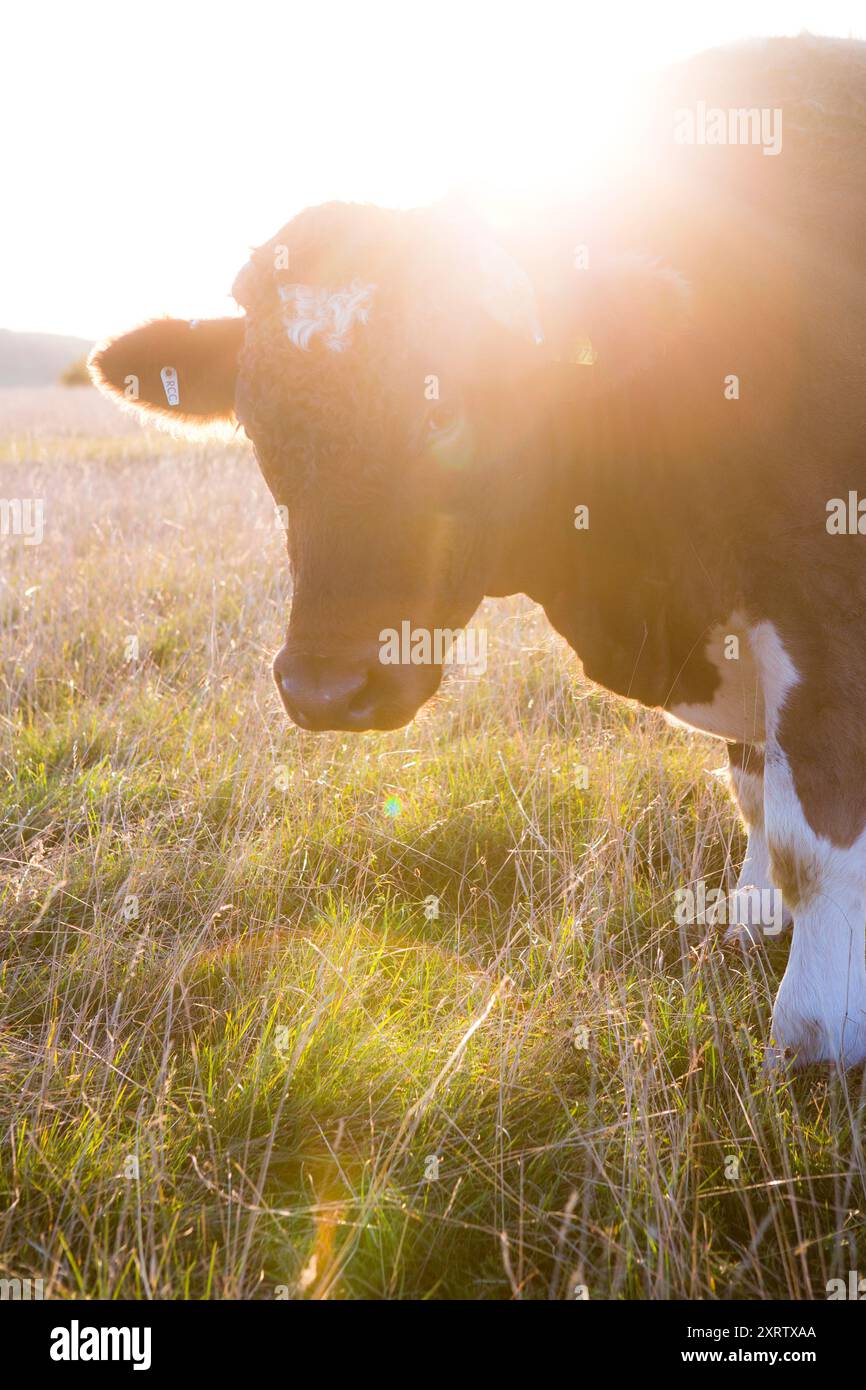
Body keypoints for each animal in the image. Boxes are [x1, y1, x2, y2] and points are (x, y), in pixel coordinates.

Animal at [89, 35, 866, 1069]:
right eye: (258, 421)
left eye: (453, 406)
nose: (326, 689)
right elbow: (753, 793)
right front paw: (748, 919)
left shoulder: (823, 603)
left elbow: (812, 839)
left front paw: (816, 1038)